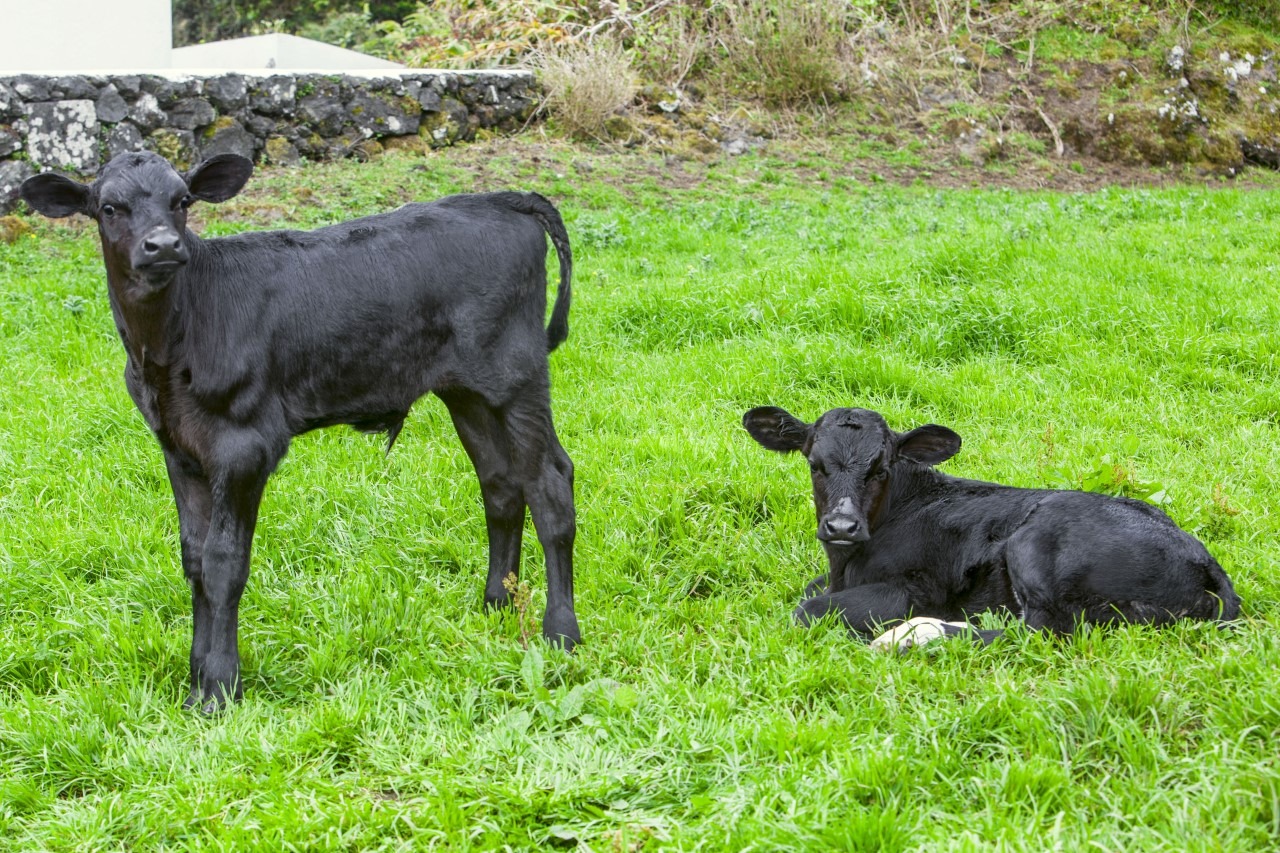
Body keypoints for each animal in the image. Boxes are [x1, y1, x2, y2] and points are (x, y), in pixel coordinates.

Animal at [21, 151, 580, 712]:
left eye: (182, 201)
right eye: (109, 207)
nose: (163, 245)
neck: (169, 341)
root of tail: (503, 198)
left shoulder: (244, 445)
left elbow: (224, 563)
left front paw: (220, 687)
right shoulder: (179, 448)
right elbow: (194, 559)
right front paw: (195, 680)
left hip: (517, 374)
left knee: (550, 484)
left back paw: (561, 633)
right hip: (468, 391)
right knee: (501, 484)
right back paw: (497, 603)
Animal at [743, 405, 1240, 650]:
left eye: (881, 468)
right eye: (814, 463)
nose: (842, 526)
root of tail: (1202, 558)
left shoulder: (913, 588)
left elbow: (806, 611)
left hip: (1032, 547)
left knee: (1038, 633)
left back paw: (913, 636)